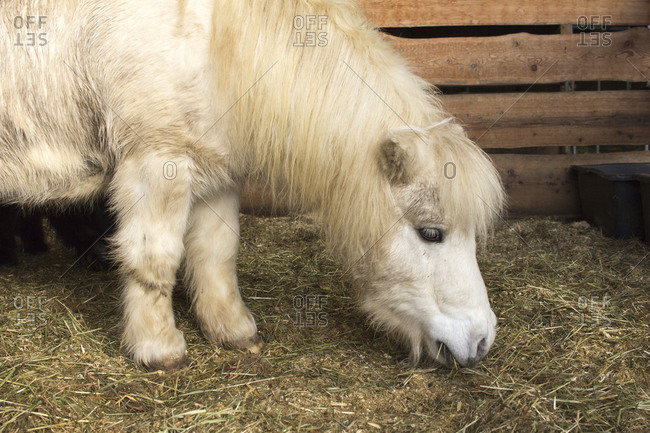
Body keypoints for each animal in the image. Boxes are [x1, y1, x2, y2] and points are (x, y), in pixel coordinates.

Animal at [1, 0, 505, 370]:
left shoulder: (217, 175)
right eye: (431, 233)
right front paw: (159, 349)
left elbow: (216, 253)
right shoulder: (157, 163)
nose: (481, 340)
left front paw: (232, 330)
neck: (212, 41)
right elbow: (155, 259)